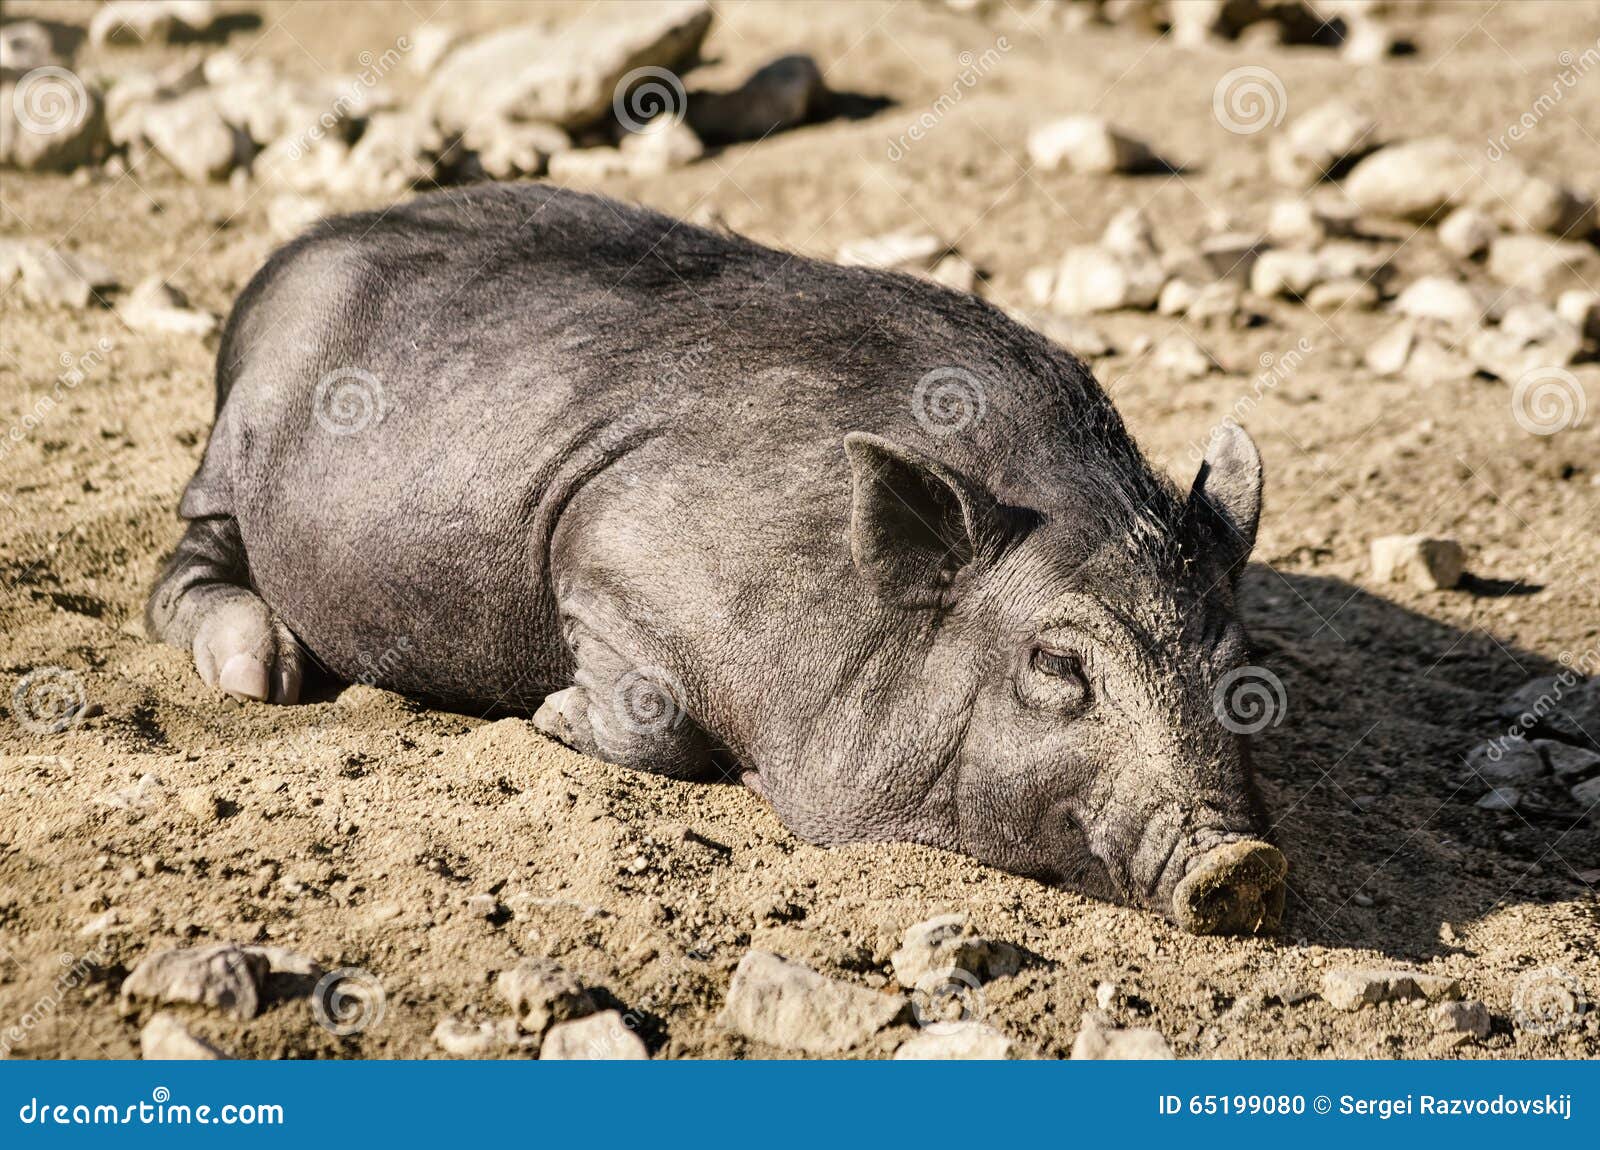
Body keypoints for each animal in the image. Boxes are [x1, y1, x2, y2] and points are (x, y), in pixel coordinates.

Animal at [147, 183, 1285, 935]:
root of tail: (290, 257)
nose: (1243, 862)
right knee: (181, 568)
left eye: (1238, 665)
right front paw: (547, 716)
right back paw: (261, 676)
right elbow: (648, 712)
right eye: (1056, 664)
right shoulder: (607, 553)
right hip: (233, 451)